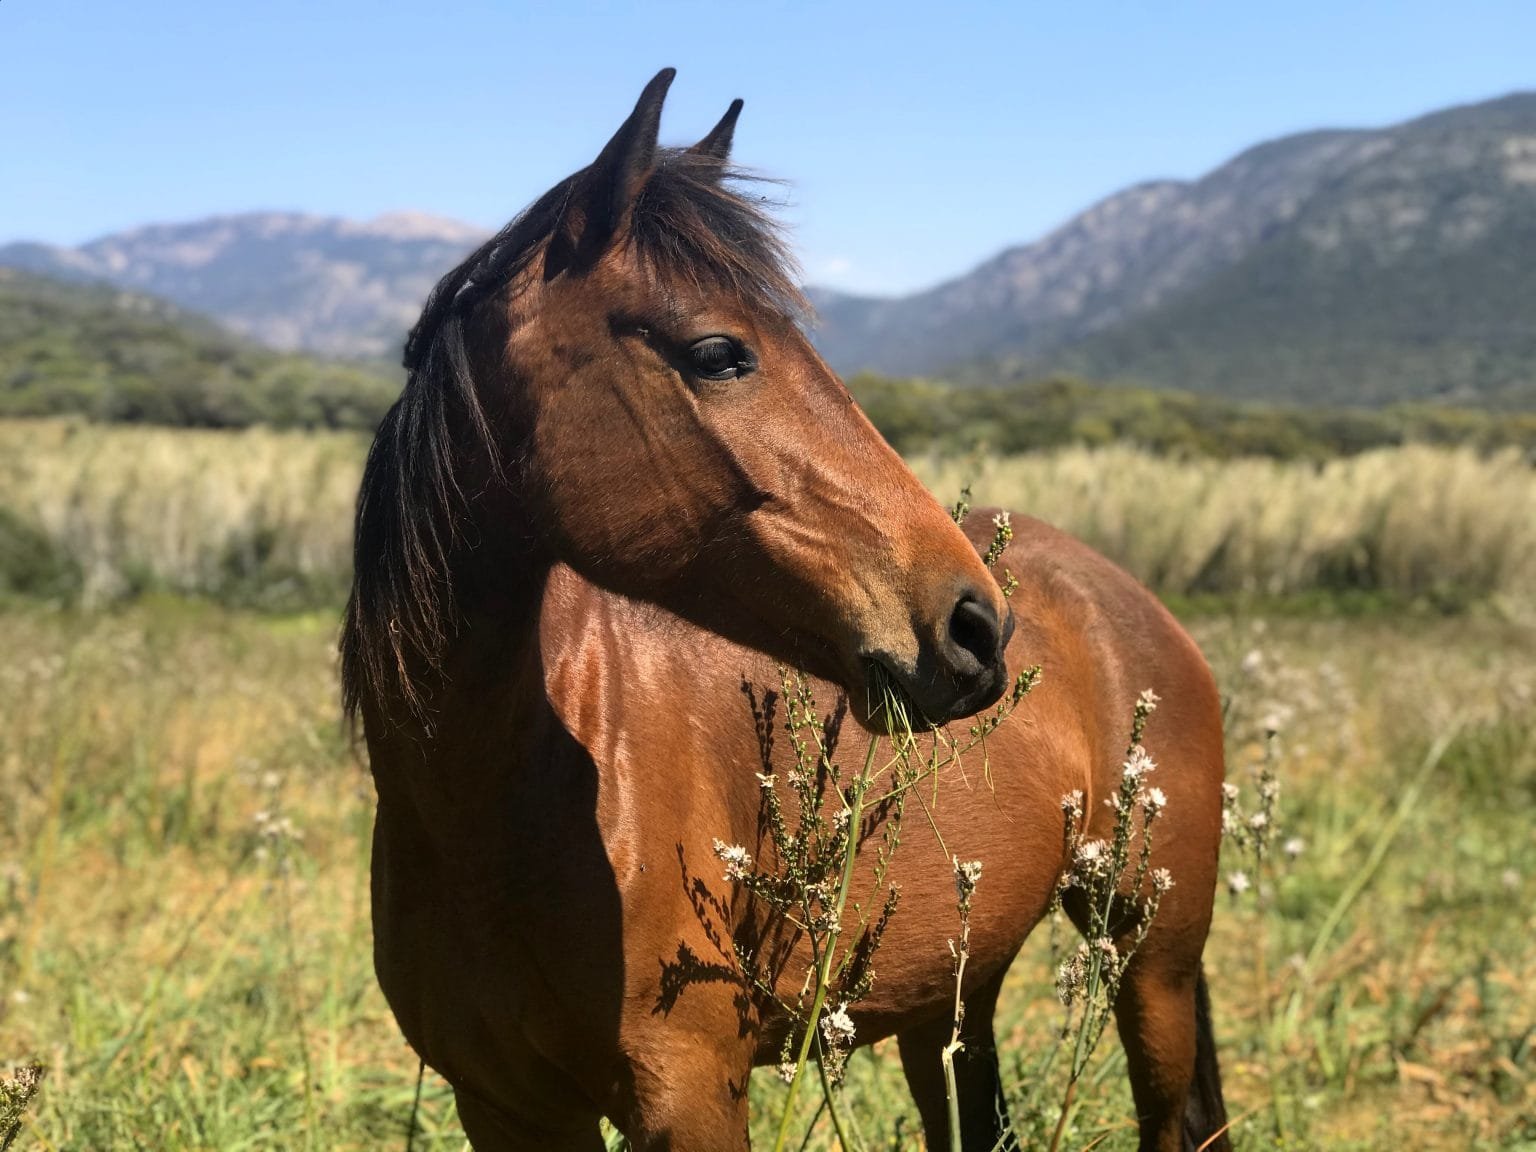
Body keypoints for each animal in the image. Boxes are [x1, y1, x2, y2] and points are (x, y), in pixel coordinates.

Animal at [341, 69, 1231, 1152]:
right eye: (719, 351)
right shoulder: (507, 1108)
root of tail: (1129, 604)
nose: (976, 629)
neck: (486, 818)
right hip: (955, 999)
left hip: (1152, 966)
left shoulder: (689, 1098)